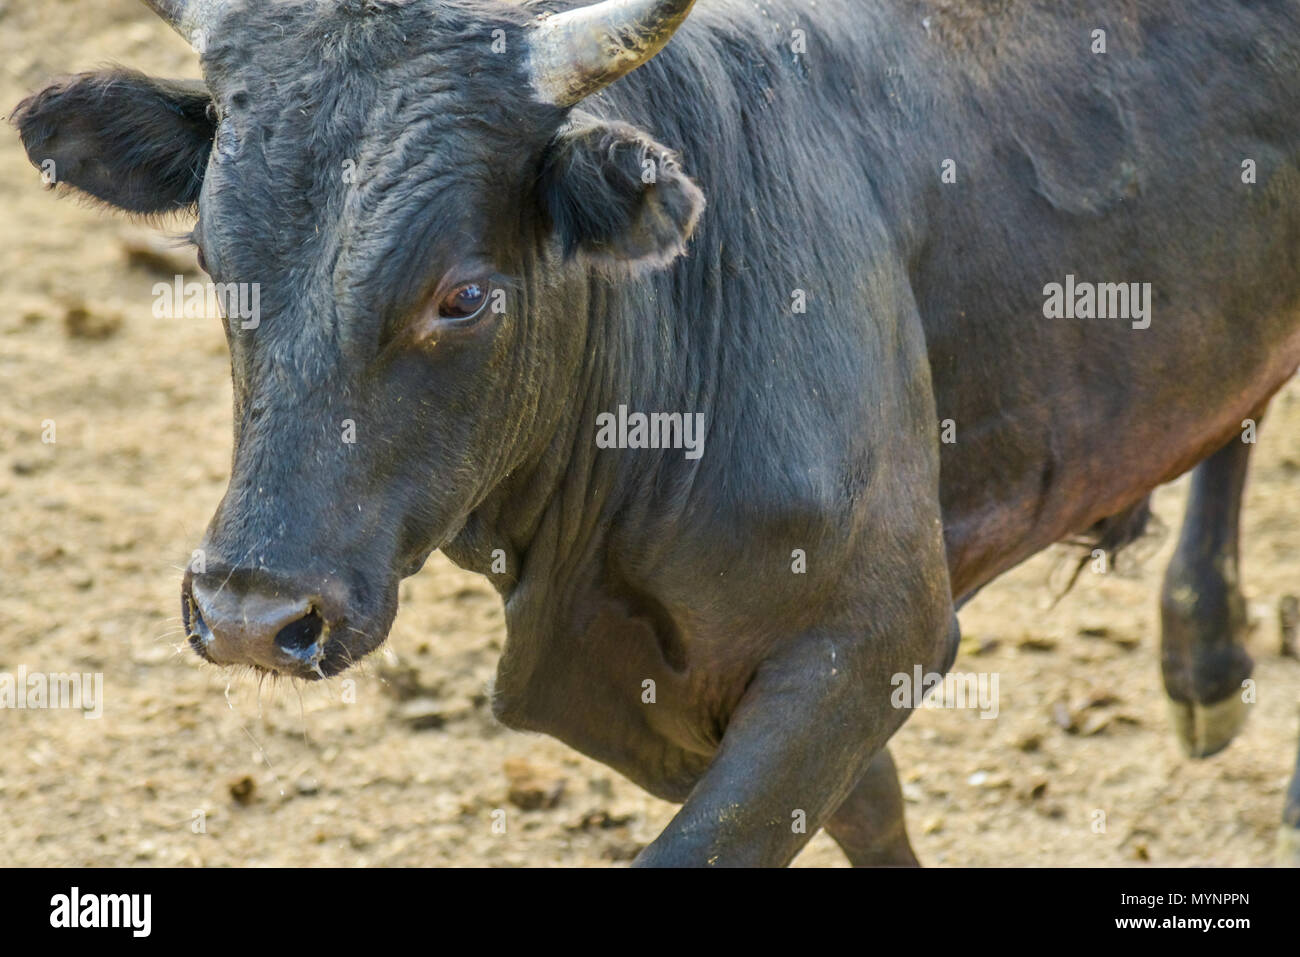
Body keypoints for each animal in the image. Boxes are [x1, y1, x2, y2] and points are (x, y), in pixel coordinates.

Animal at [13, 0, 1300, 866]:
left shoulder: (875, 628)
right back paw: (1203, 654)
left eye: (462, 296)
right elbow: (865, 809)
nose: (249, 613)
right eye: (207, 257)